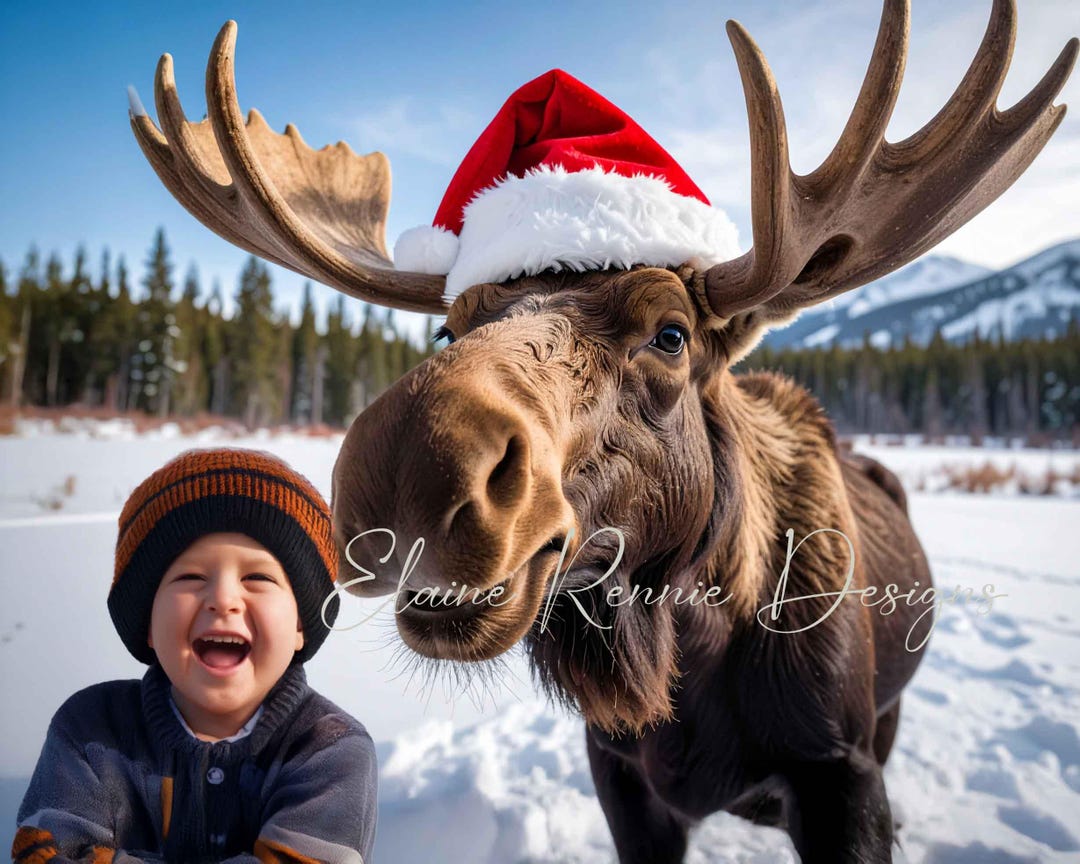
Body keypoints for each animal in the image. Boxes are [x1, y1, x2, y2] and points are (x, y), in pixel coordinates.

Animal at [130, 1, 1076, 860]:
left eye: (671, 333)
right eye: (449, 328)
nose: (409, 471)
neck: (688, 666)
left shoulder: (841, 772)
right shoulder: (622, 776)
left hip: (891, 712)